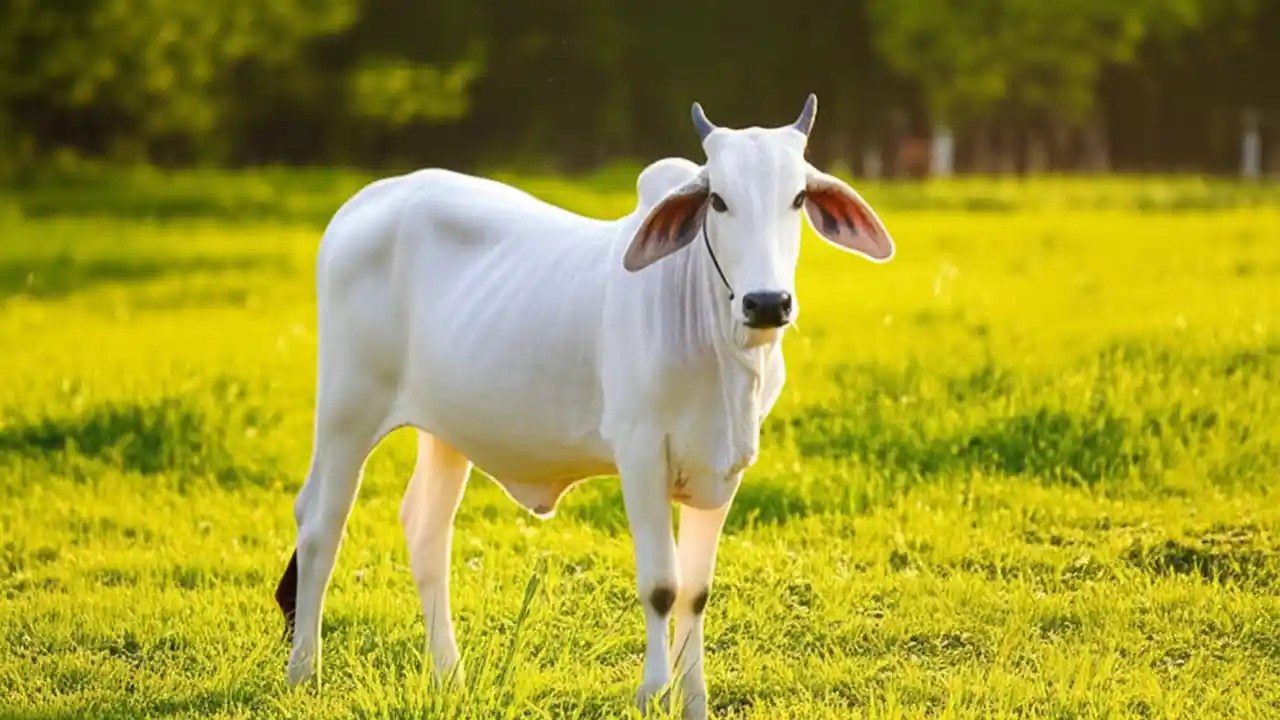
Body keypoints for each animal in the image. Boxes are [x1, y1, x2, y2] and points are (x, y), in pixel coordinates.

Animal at [275, 94, 894, 717]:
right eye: (718, 199)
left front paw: (694, 702)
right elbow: (662, 586)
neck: (721, 350)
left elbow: (696, 592)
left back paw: (450, 678)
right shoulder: (640, 452)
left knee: (426, 530)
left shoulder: (726, 467)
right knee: (321, 525)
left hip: (447, 430)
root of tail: (368, 200)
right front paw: (651, 694)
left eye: (798, 197)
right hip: (347, 409)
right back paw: (304, 674)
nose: (767, 302)